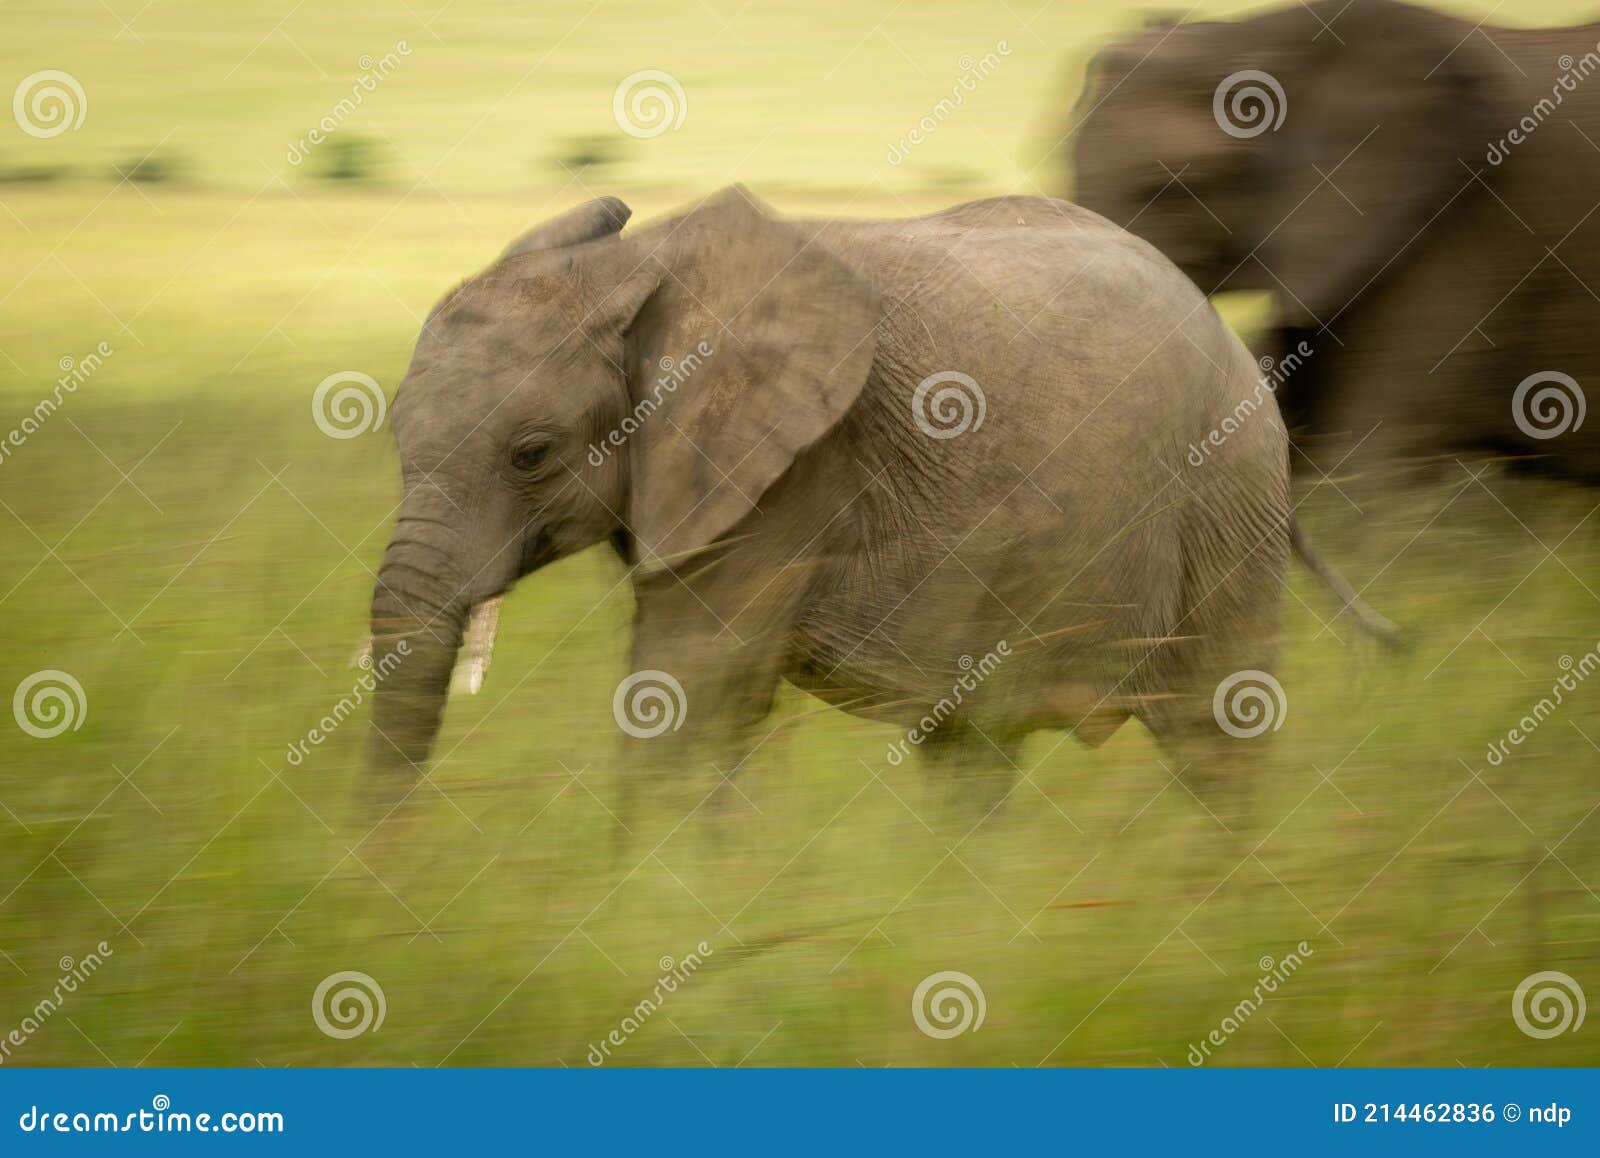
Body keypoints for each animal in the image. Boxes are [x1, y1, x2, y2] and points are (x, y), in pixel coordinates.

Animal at [361, 187, 1395, 815]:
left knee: (1218, 738)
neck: (639, 260)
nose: (378, 883)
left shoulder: (795, 470)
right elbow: (711, 708)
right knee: (977, 742)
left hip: (1225, 496)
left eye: (532, 455)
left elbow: (687, 689)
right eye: (395, 435)